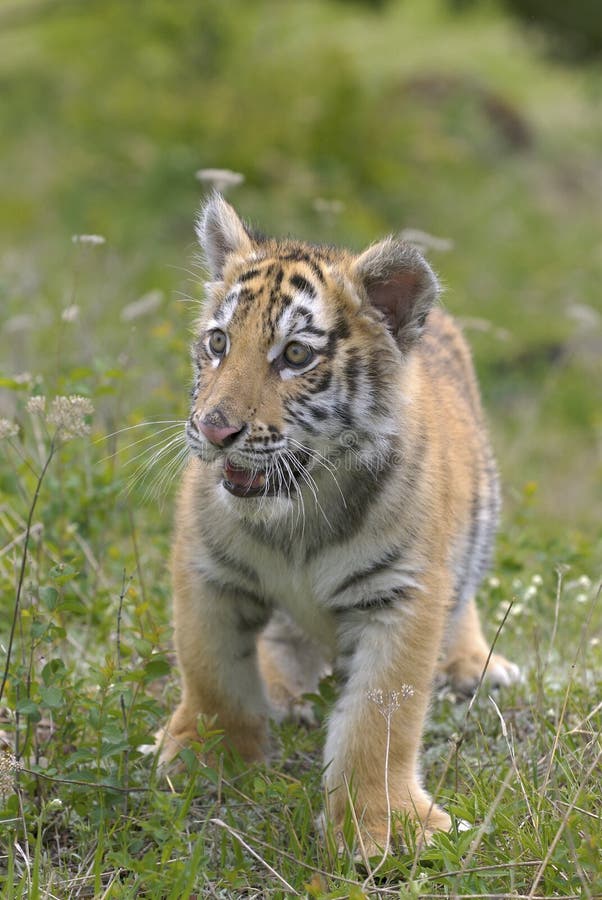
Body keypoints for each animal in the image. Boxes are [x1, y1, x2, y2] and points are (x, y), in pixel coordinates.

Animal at [156, 193, 519, 853]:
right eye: (218, 342)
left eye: (296, 355)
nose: (215, 431)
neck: (297, 514)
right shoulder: (207, 568)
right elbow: (211, 669)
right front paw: (203, 761)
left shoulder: (403, 595)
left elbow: (381, 718)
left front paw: (381, 827)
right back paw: (286, 693)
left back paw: (475, 666)